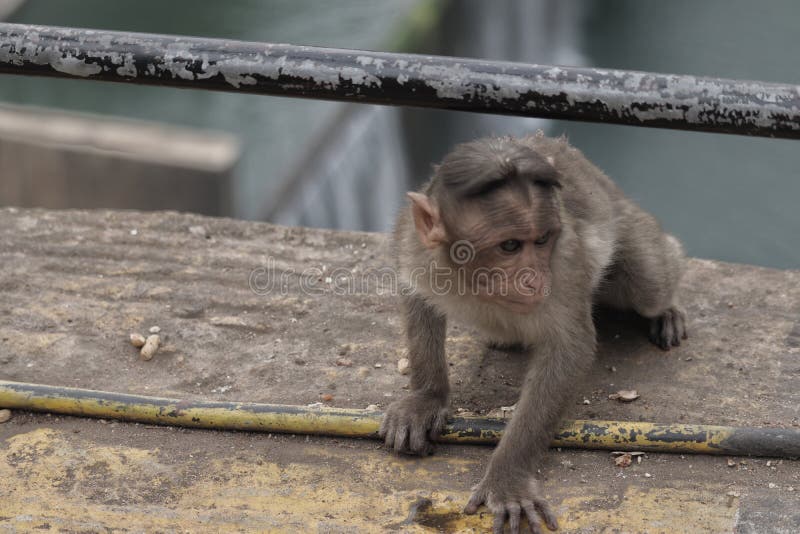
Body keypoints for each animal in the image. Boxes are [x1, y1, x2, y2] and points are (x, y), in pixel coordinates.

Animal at [379, 133, 687, 533]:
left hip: (631, 231)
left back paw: (667, 305)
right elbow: (417, 297)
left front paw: (508, 477)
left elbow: (569, 348)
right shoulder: (414, 244)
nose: (534, 278)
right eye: (509, 245)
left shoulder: (564, 261)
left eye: (542, 240)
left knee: (650, 283)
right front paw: (425, 399)